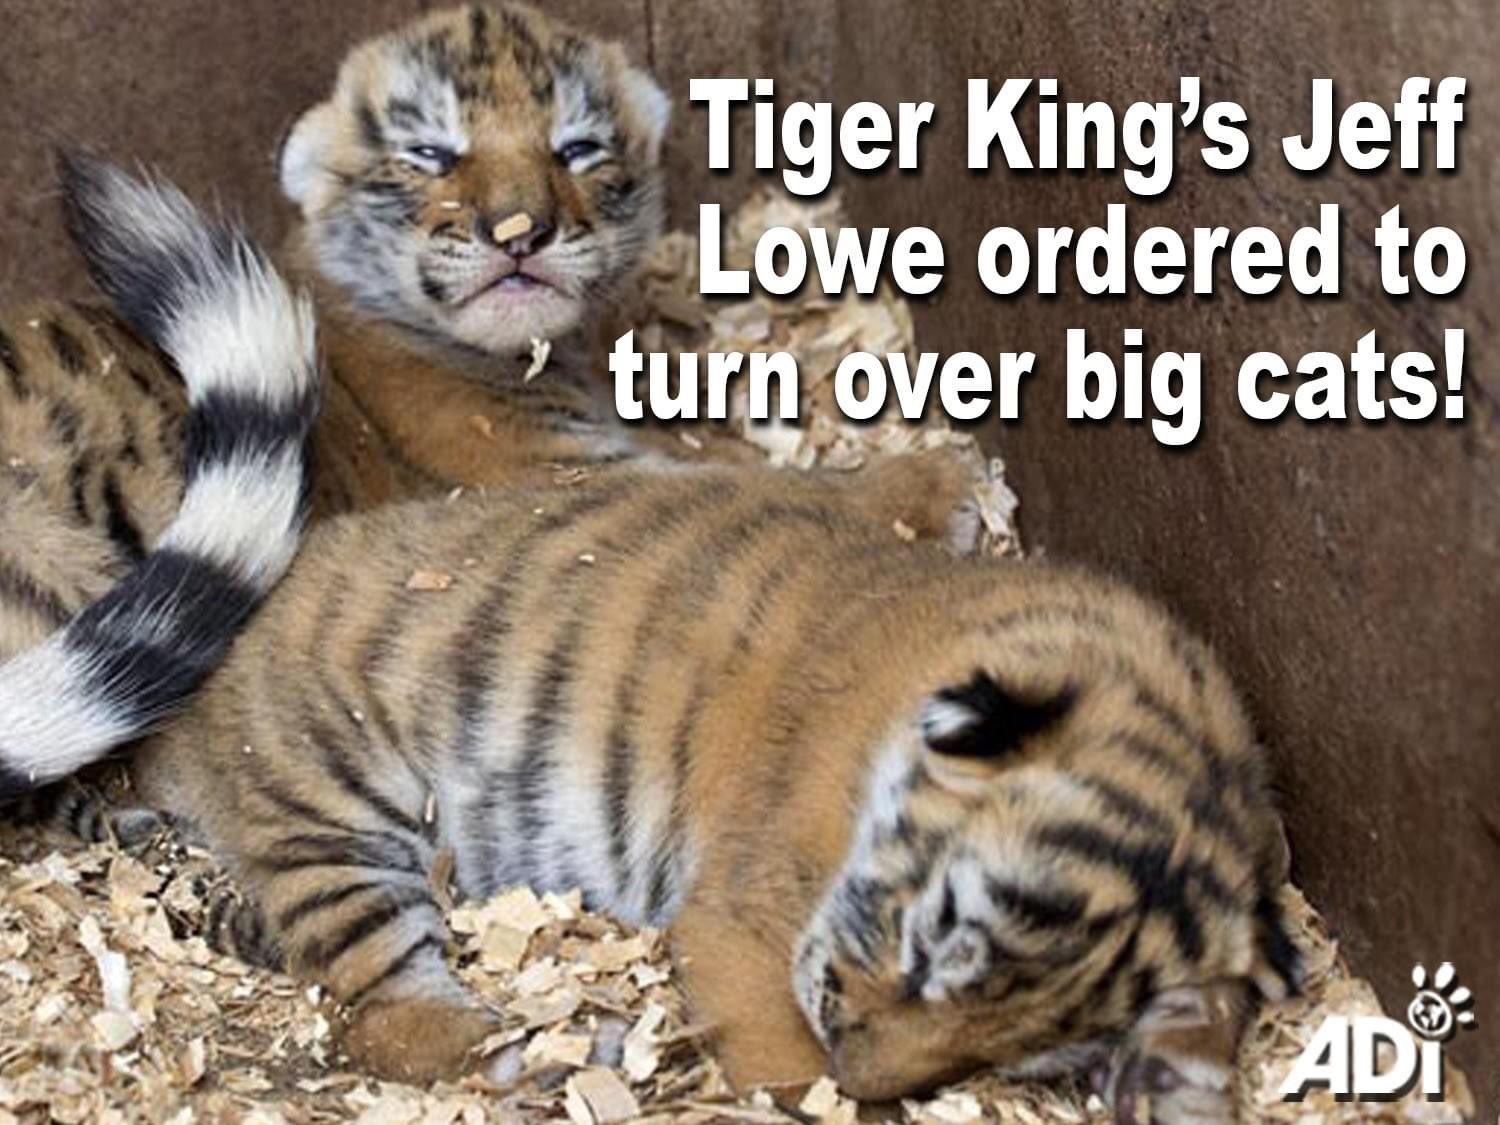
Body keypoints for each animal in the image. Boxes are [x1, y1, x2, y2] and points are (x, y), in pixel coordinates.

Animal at [5, 172, 1302, 1124]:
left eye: (1025, 1052)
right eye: (934, 942)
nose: (875, 1068)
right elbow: (789, 480)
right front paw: (940, 477)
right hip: (317, 783)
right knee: (387, 1011)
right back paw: (538, 1049)